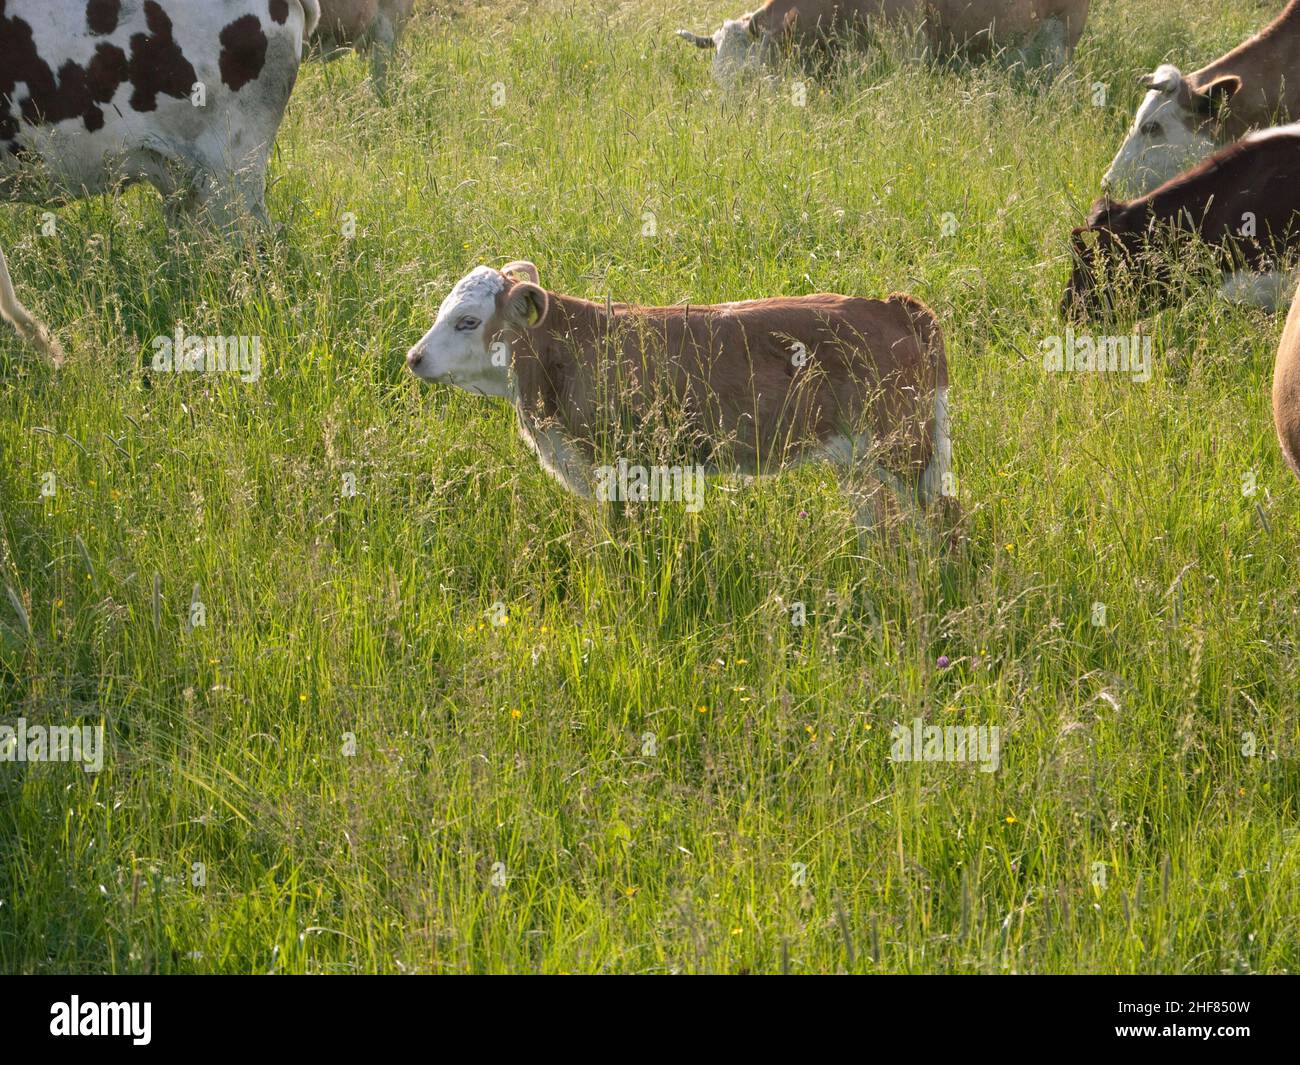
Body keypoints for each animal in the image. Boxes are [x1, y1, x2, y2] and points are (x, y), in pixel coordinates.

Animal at [405, 262, 956, 534]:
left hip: (906, 453)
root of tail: (895, 307)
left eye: (468, 321)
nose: (414, 357)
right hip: (860, 464)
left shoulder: (616, 466)